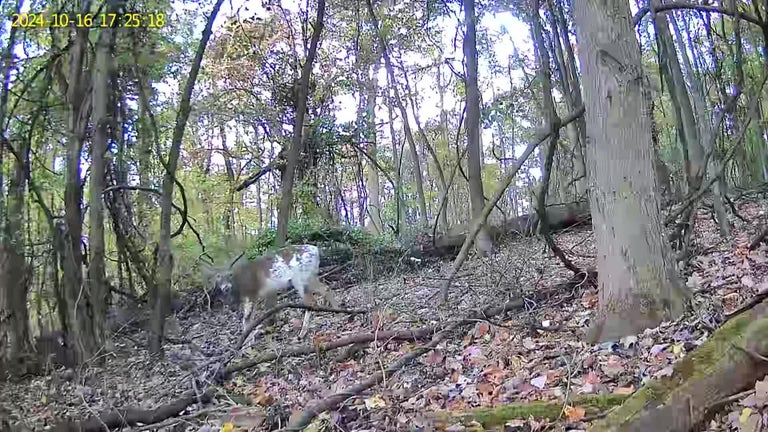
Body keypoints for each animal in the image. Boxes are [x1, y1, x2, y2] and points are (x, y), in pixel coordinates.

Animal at [205, 244, 337, 340]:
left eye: (230, 275)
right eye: (218, 277)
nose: (226, 287)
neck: (240, 286)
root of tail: (316, 251)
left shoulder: (252, 293)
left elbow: (246, 319)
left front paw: (247, 341)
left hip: (300, 277)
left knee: (311, 301)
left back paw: (302, 334)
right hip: (310, 275)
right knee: (325, 288)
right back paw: (338, 309)